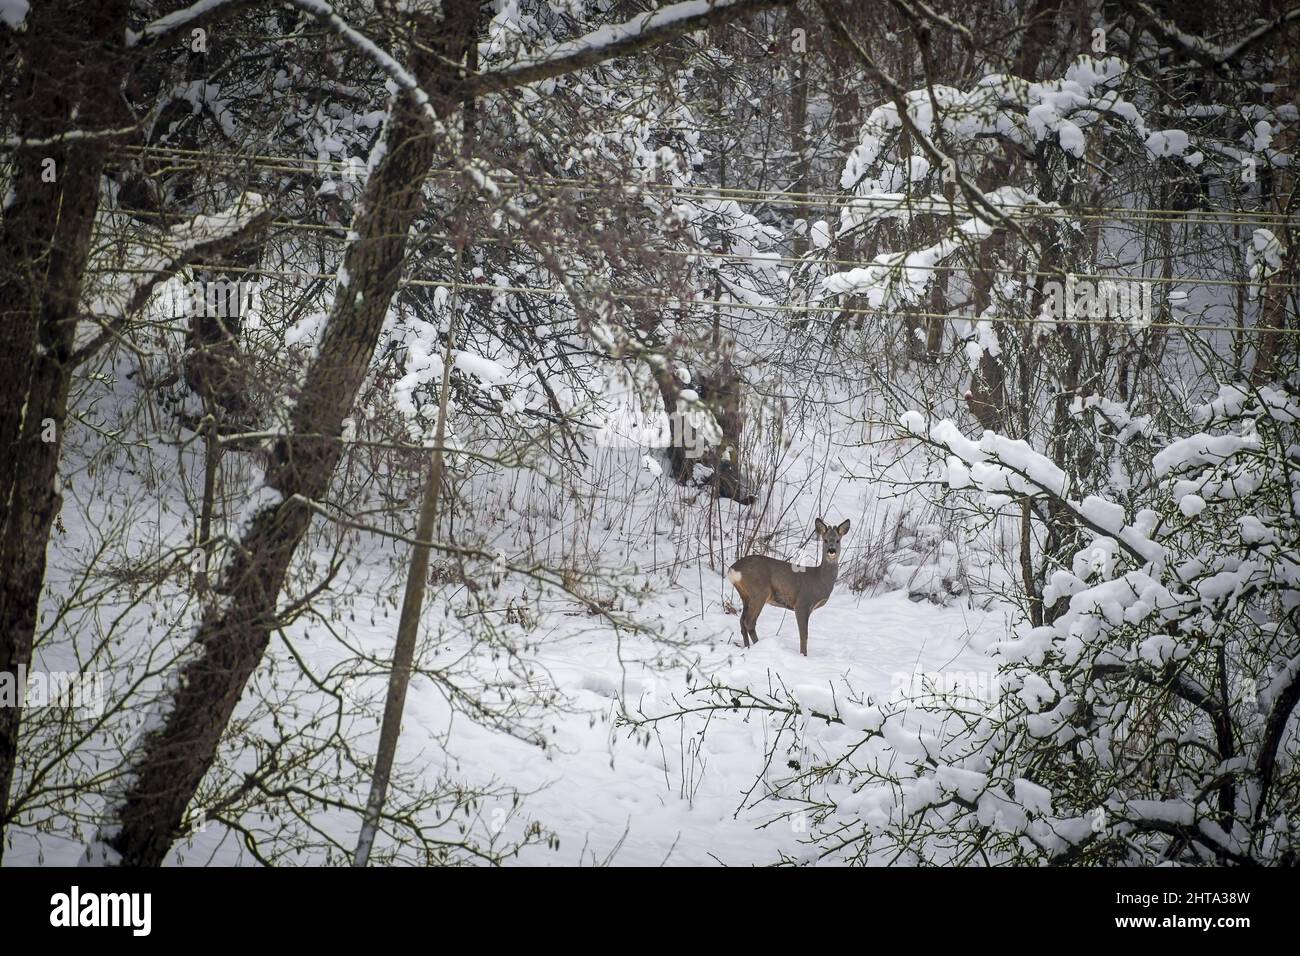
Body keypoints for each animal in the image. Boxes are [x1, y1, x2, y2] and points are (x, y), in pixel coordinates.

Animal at [726, 518, 850, 656]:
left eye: (838, 540)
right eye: (825, 540)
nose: (831, 550)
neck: (819, 580)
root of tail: (733, 570)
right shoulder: (802, 603)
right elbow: (804, 635)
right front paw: (803, 656)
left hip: (745, 596)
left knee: (742, 622)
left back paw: (747, 647)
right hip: (759, 592)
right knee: (749, 622)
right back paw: (758, 646)